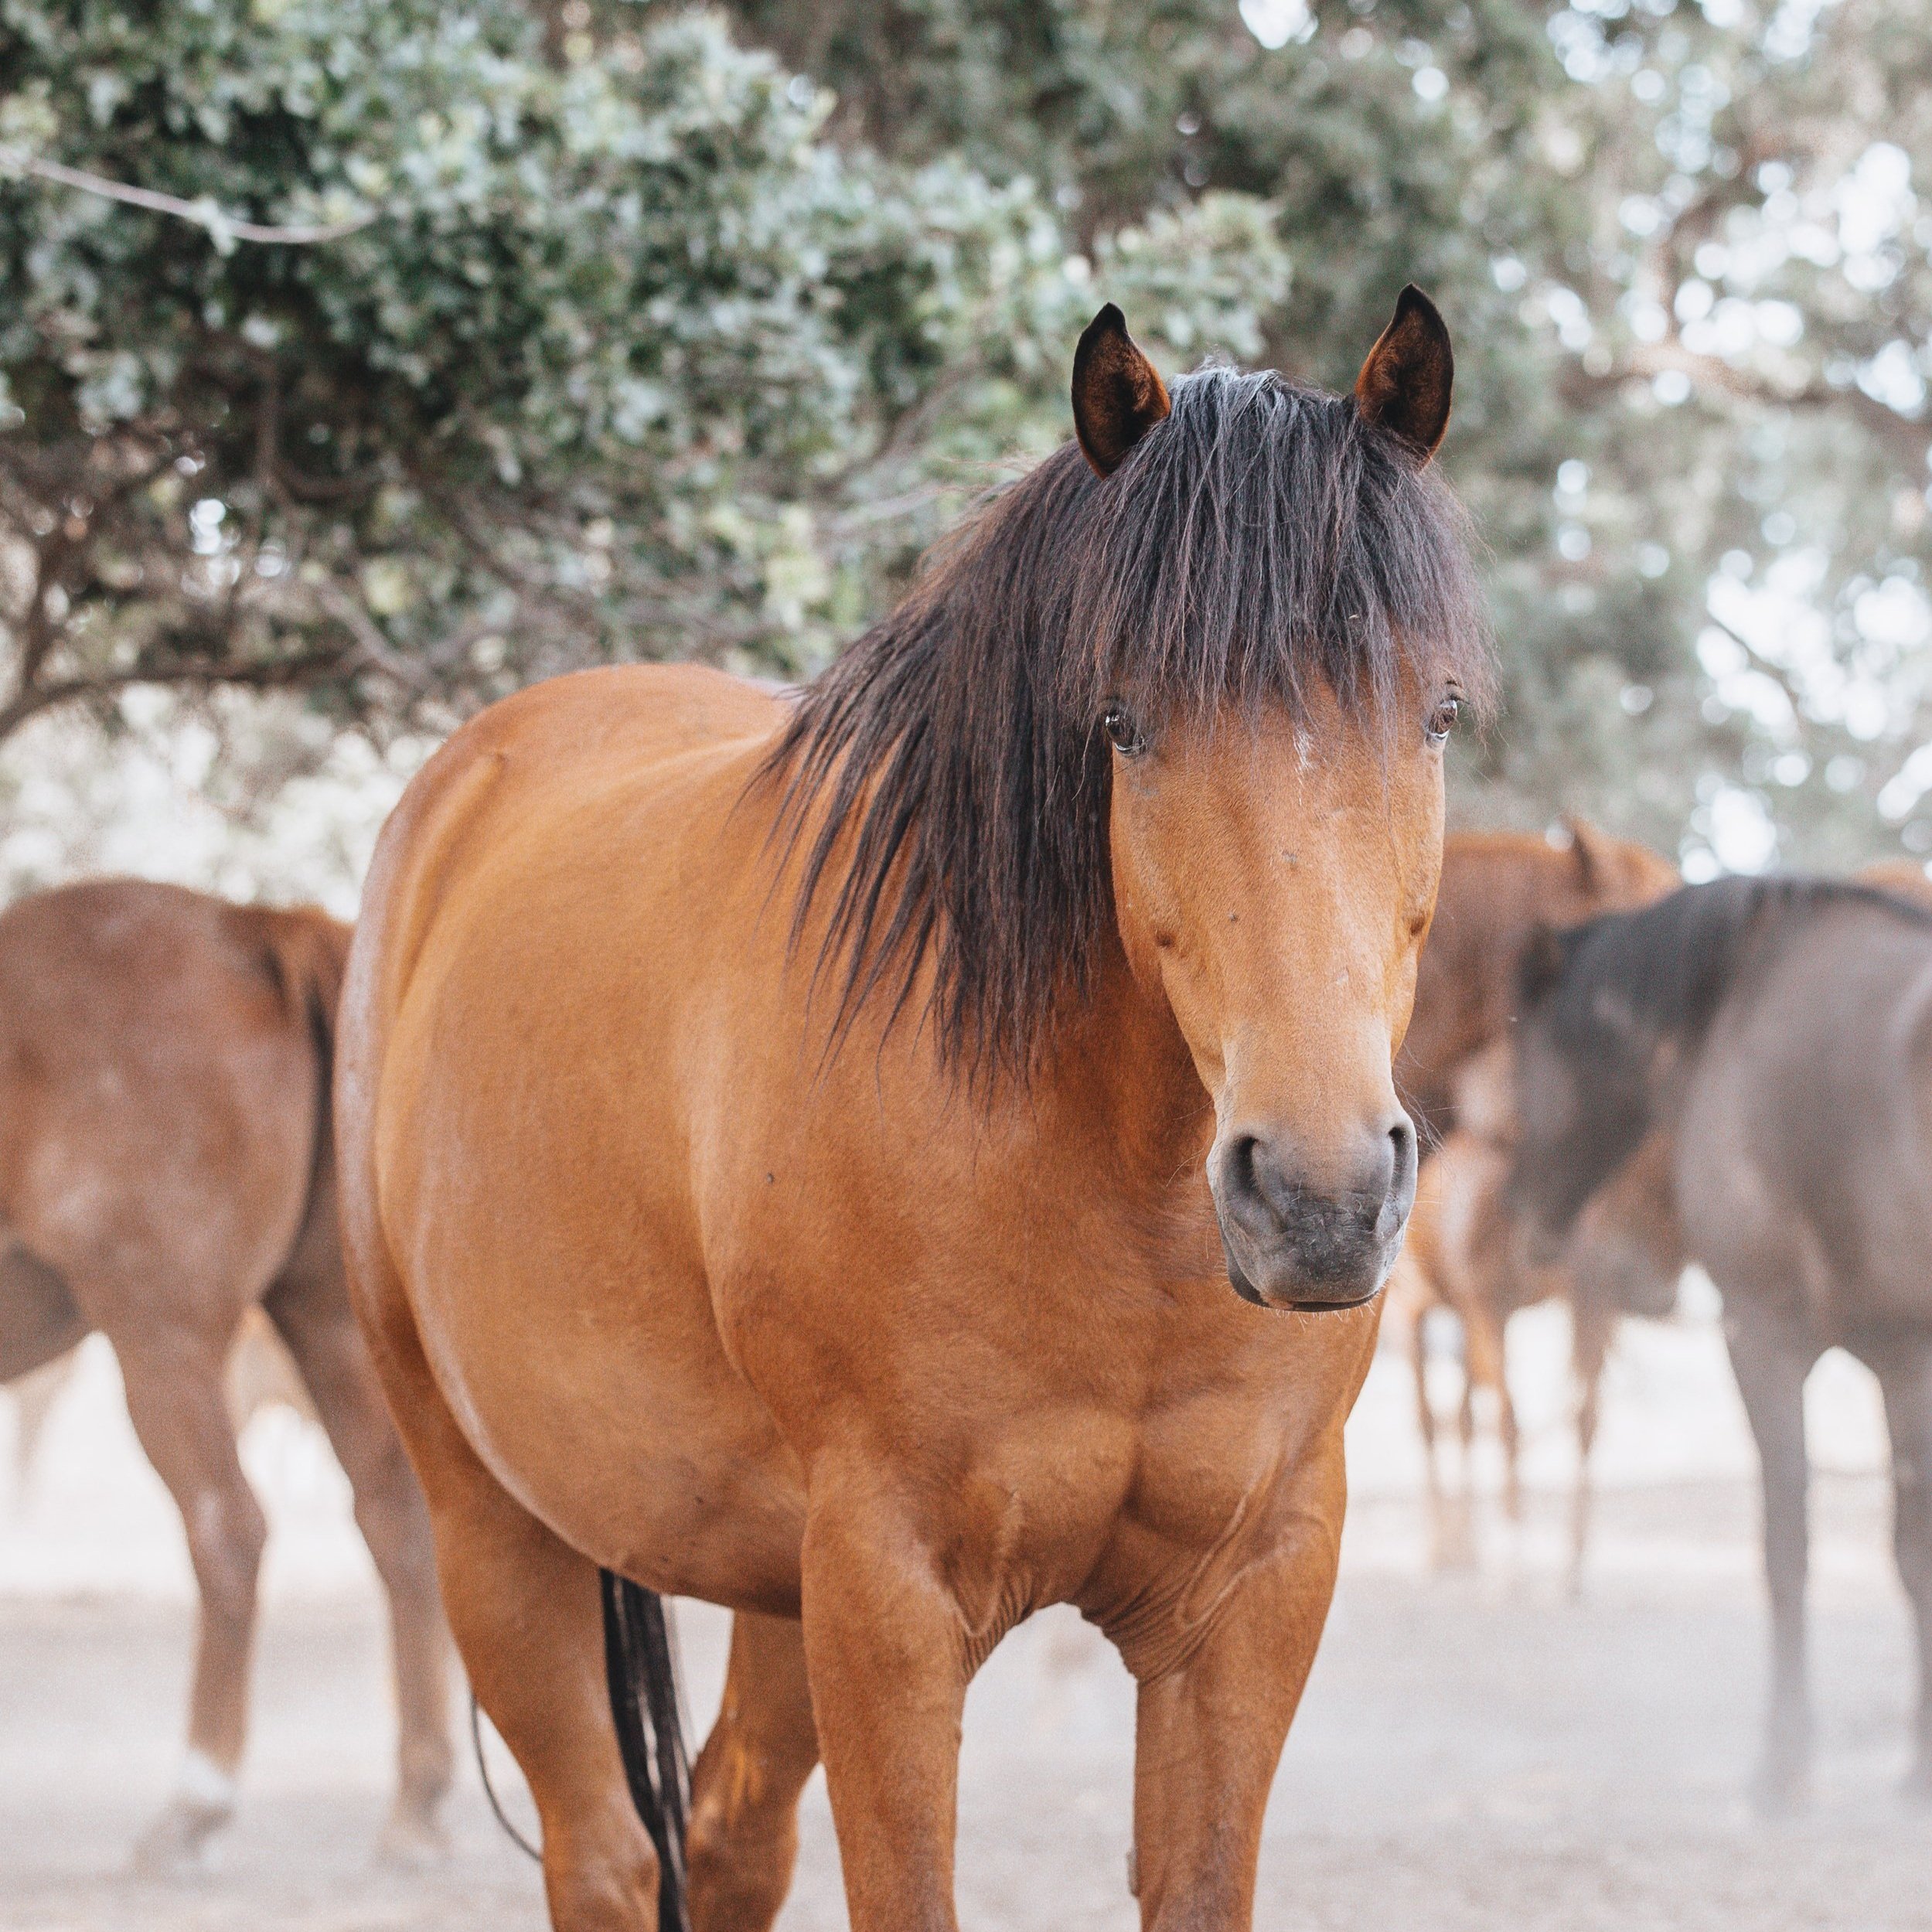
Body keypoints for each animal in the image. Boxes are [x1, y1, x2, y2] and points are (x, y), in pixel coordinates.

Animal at [0, 879, 452, 1869]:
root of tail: (252, 928)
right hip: (329, 1325)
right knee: (396, 1524)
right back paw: (418, 1798)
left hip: (162, 1340)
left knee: (229, 1532)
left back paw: (197, 1800)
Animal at [337, 290, 1491, 1932]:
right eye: (1120, 721)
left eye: (1436, 712)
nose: (1318, 1197)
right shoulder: (887, 1597)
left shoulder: (1251, 1594)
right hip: (496, 1528)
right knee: (607, 1858)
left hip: (768, 1578)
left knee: (724, 1835)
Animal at [1510, 875, 1932, 1810]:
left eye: (1522, 1057)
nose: (1524, 1215)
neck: (1743, 1000)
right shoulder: (1898, 1359)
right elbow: (1907, 1555)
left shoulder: (1763, 1334)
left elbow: (1787, 1549)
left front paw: (1784, 1766)